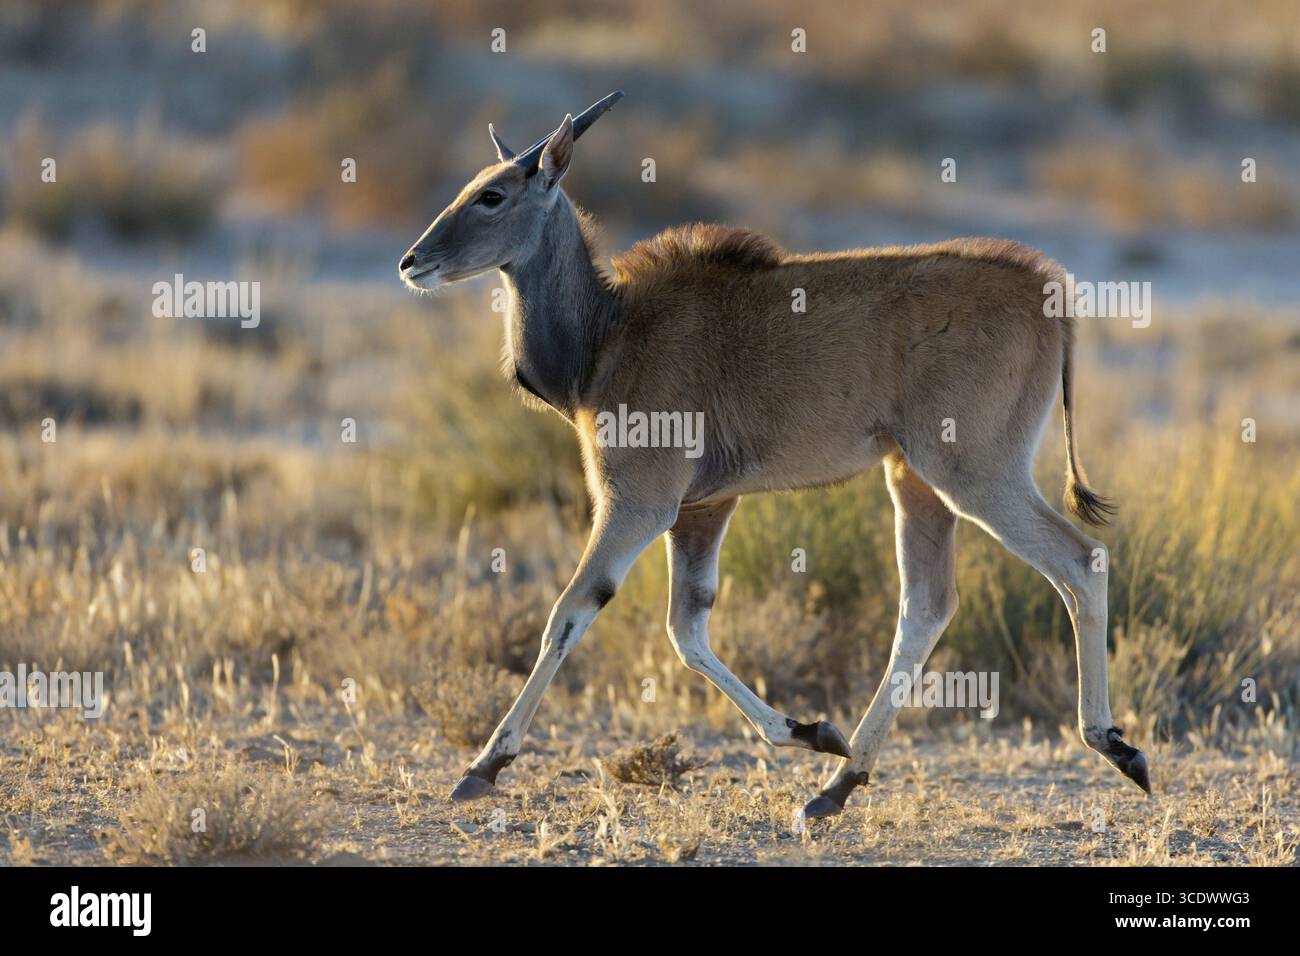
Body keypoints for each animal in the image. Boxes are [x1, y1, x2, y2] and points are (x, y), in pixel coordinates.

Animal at [398, 92, 1151, 817]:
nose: (410, 261)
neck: (608, 333)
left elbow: (572, 610)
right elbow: (687, 629)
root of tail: (1050, 292)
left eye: (492, 195)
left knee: (1078, 561)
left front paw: (483, 766)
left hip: (976, 474)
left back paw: (1113, 744)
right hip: (916, 480)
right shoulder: (701, 510)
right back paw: (839, 784)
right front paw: (811, 732)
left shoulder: (638, 502)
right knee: (927, 606)